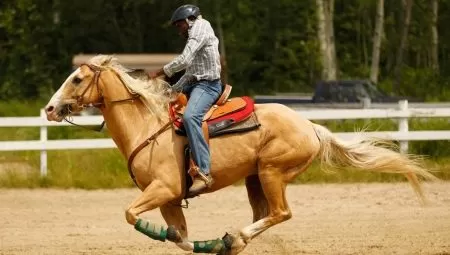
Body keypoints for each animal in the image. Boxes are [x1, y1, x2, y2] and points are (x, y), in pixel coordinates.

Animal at [44, 54, 438, 254]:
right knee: (265, 214)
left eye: (77, 79)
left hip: (272, 172)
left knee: (280, 213)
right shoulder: (170, 199)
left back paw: (234, 237)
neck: (147, 126)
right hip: (254, 179)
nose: (49, 109)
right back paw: (230, 242)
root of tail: (310, 126)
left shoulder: (163, 189)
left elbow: (130, 214)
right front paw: (198, 243)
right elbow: (180, 235)